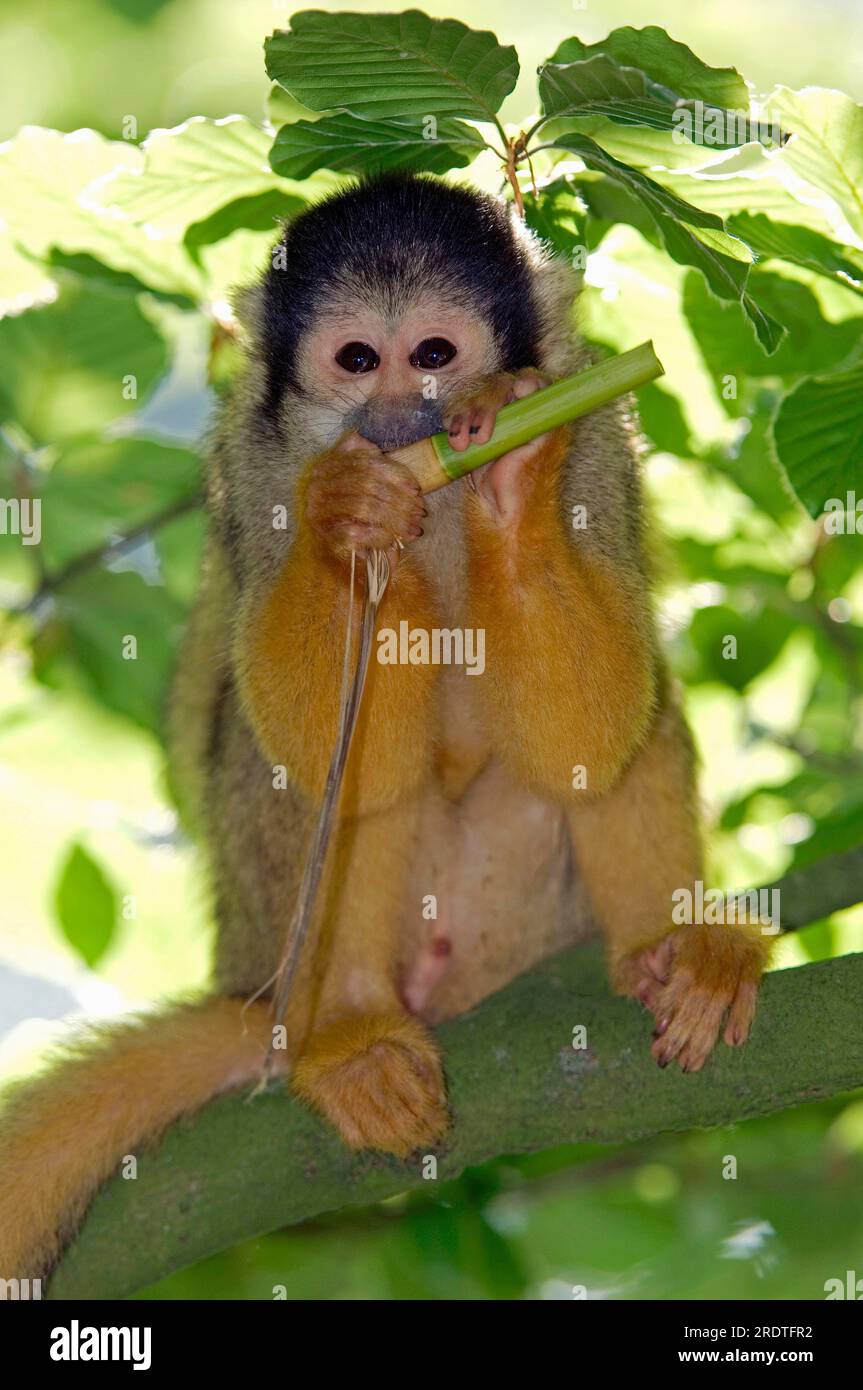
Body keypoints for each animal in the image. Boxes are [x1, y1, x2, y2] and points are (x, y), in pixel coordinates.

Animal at [0, 171, 771, 1281]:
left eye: (435, 355)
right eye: (358, 360)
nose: (402, 416)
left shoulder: (589, 416)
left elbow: (590, 729)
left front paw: (510, 479)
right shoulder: (253, 468)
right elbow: (325, 743)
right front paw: (345, 520)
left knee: (634, 713)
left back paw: (662, 953)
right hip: (287, 953)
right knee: (307, 769)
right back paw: (350, 1031)